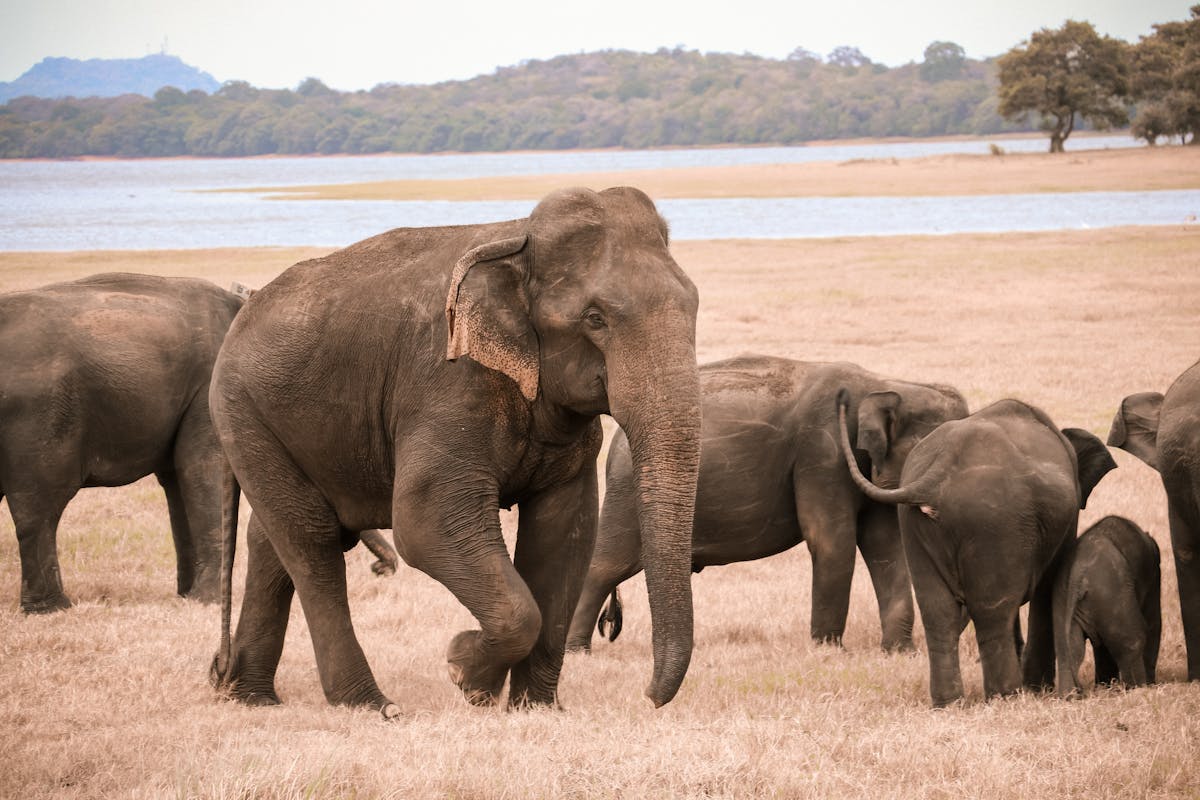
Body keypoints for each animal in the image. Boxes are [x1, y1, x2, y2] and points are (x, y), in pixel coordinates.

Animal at [0, 273, 243, 613]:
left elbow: (178, 479)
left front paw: (187, 597)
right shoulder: (210, 390)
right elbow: (201, 470)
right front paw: (206, 602)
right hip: (36, 417)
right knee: (39, 506)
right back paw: (53, 608)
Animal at [208, 187, 702, 718]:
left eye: (694, 305)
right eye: (595, 318)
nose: (648, 697)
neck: (519, 239)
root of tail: (243, 309)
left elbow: (565, 532)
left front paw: (535, 709)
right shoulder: (448, 385)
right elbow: (424, 524)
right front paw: (465, 672)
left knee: (271, 539)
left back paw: (252, 698)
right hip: (242, 411)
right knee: (310, 540)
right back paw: (372, 706)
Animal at [566, 355, 968, 654]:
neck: (889, 383)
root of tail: (617, 442)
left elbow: (885, 547)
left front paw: (899, 652)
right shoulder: (822, 453)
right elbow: (831, 541)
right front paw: (827, 651)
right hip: (627, 494)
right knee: (605, 565)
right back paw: (576, 651)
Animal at [837, 395, 1116, 706]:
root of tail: (941, 467)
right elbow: (1048, 587)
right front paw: (1037, 689)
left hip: (914, 523)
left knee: (937, 611)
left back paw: (949, 703)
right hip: (993, 521)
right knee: (992, 611)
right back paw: (1006, 696)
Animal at [1053, 515, 1161, 697]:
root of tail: (1078, 574)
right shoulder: (1153, 579)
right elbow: (1153, 624)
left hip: (1063, 596)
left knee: (1066, 651)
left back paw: (1070, 697)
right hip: (1111, 591)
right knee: (1135, 640)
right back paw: (1137, 689)